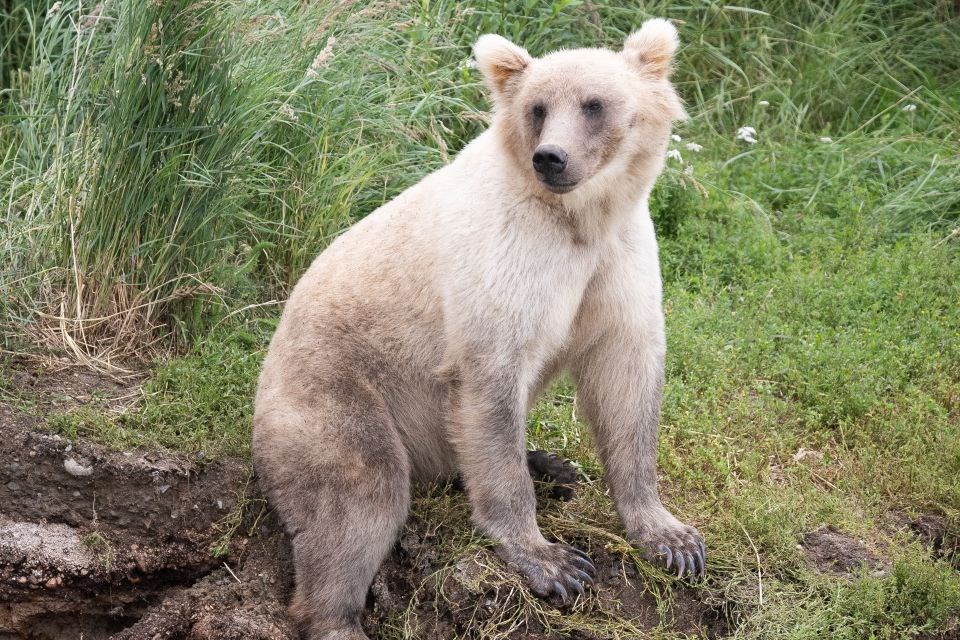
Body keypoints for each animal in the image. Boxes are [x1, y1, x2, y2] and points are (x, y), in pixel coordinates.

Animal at [253, 18, 704, 640]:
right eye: (539, 107)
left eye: (593, 104)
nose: (551, 158)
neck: (580, 220)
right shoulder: (504, 268)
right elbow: (492, 389)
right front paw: (555, 563)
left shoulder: (618, 265)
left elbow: (626, 383)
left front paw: (673, 538)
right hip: (336, 397)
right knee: (359, 500)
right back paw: (337, 615)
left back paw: (553, 465)